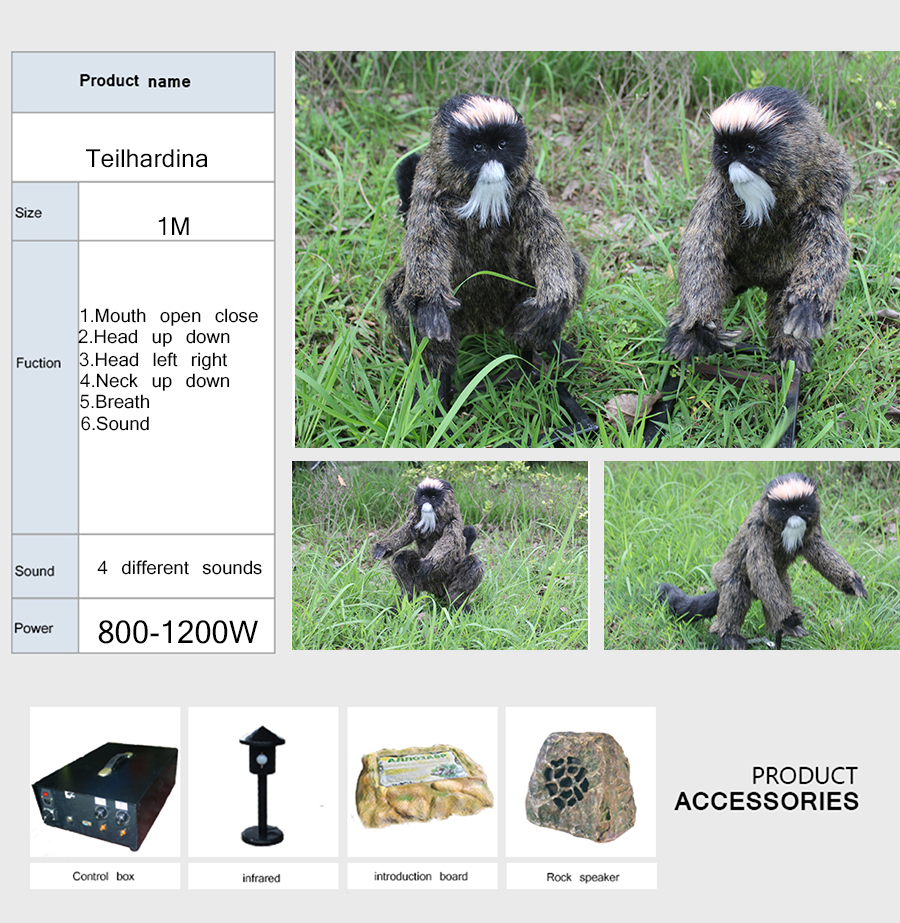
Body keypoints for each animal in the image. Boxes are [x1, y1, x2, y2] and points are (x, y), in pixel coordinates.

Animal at [373, 477, 485, 610]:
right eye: (423, 497)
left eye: (433, 498)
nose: (426, 504)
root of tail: (437, 591)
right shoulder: (415, 518)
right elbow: (405, 532)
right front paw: (383, 547)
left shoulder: (454, 522)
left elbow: (451, 542)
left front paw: (428, 563)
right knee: (401, 558)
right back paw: (407, 600)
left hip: (446, 585)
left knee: (474, 564)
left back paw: (458, 605)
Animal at [382, 94, 589, 409]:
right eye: (478, 148)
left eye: (501, 145)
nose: (493, 166)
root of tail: (484, 322)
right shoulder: (429, 195)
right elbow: (424, 247)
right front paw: (430, 309)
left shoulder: (528, 189)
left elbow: (548, 238)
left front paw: (552, 306)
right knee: (399, 302)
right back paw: (438, 388)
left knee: (573, 265)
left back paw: (542, 351)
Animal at [658, 473, 867, 650]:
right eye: (784, 509)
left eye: (801, 507)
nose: (794, 517)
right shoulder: (758, 530)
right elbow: (759, 569)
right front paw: (788, 620)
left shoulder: (812, 529)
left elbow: (819, 551)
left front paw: (852, 582)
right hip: (724, 576)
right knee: (736, 587)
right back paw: (729, 635)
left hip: (778, 579)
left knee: (779, 587)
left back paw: (781, 629)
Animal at [664, 86, 853, 374]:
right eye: (726, 149)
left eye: (750, 149)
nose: (735, 169)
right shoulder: (720, 191)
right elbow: (701, 244)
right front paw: (700, 327)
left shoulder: (823, 192)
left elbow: (828, 242)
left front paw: (808, 305)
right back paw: (686, 337)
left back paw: (790, 350)